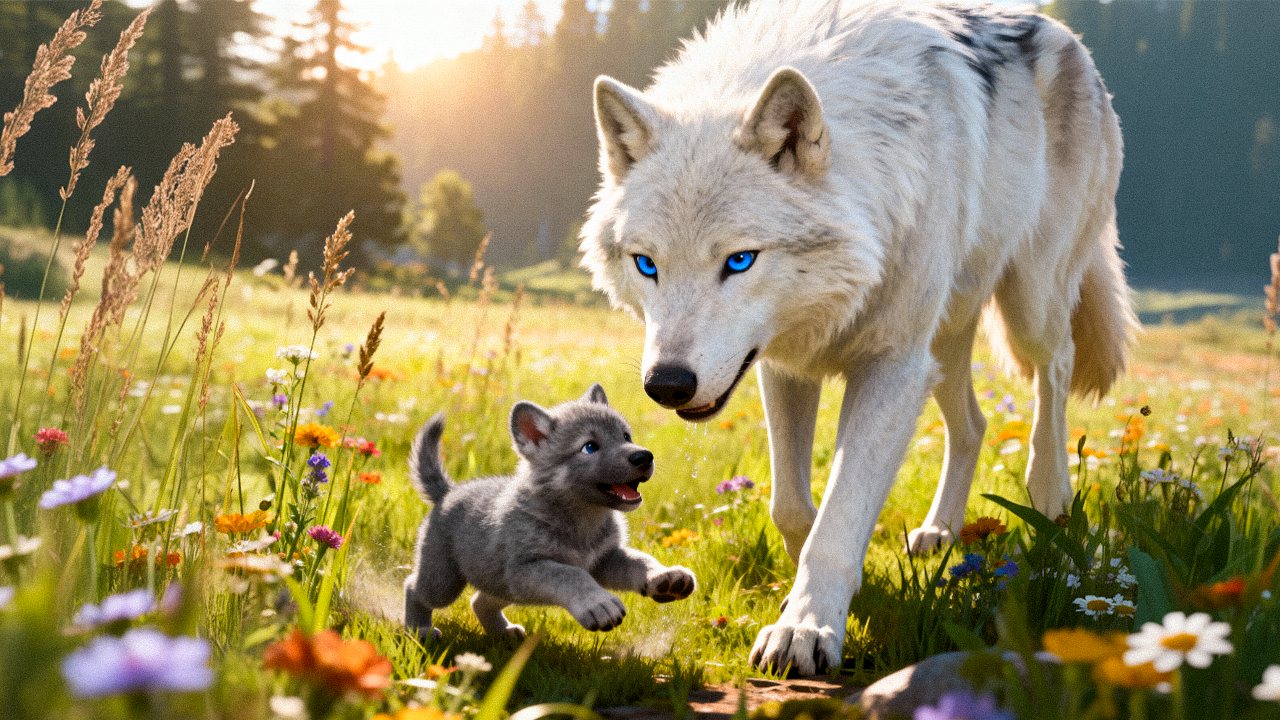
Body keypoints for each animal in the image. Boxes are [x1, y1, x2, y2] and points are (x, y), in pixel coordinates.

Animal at [402, 384, 696, 641]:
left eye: (626, 437)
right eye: (590, 447)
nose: (644, 456)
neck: (583, 523)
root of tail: (447, 492)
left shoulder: (604, 560)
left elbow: (641, 560)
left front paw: (665, 576)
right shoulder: (527, 568)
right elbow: (570, 575)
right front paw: (599, 604)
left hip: (500, 585)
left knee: (479, 601)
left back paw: (503, 632)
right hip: (444, 582)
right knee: (413, 587)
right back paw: (419, 631)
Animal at [579, 0, 1137, 674]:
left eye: (739, 261)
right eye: (646, 264)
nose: (666, 385)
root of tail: (1064, 34)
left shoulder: (892, 365)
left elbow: (840, 514)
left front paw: (805, 630)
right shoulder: (784, 365)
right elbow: (795, 509)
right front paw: (842, 598)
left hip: (1026, 305)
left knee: (1054, 374)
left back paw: (1052, 504)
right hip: (943, 341)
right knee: (974, 424)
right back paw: (940, 532)